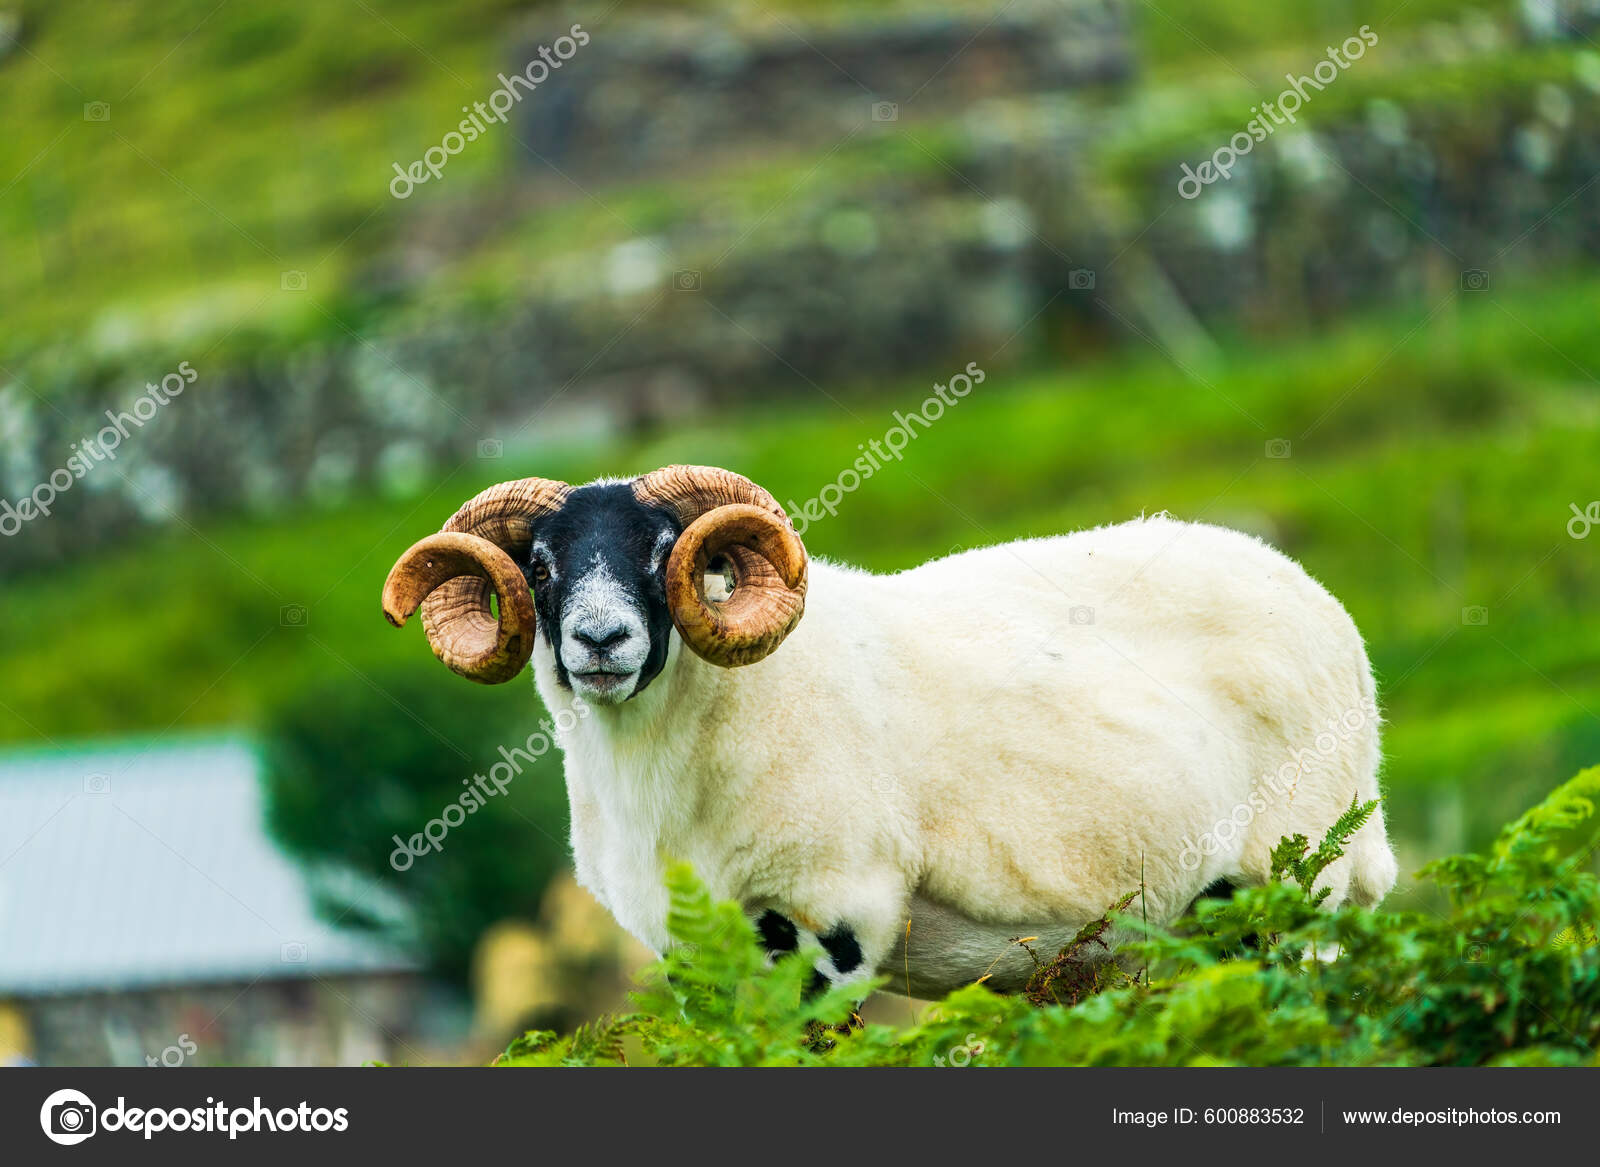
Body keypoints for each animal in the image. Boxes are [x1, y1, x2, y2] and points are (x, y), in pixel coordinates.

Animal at [382, 464, 1398, 997]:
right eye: (540, 565)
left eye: (664, 552)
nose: (601, 640)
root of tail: (1328, 612)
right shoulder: (696, 954)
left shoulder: (834, 915)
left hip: (1302, 877)